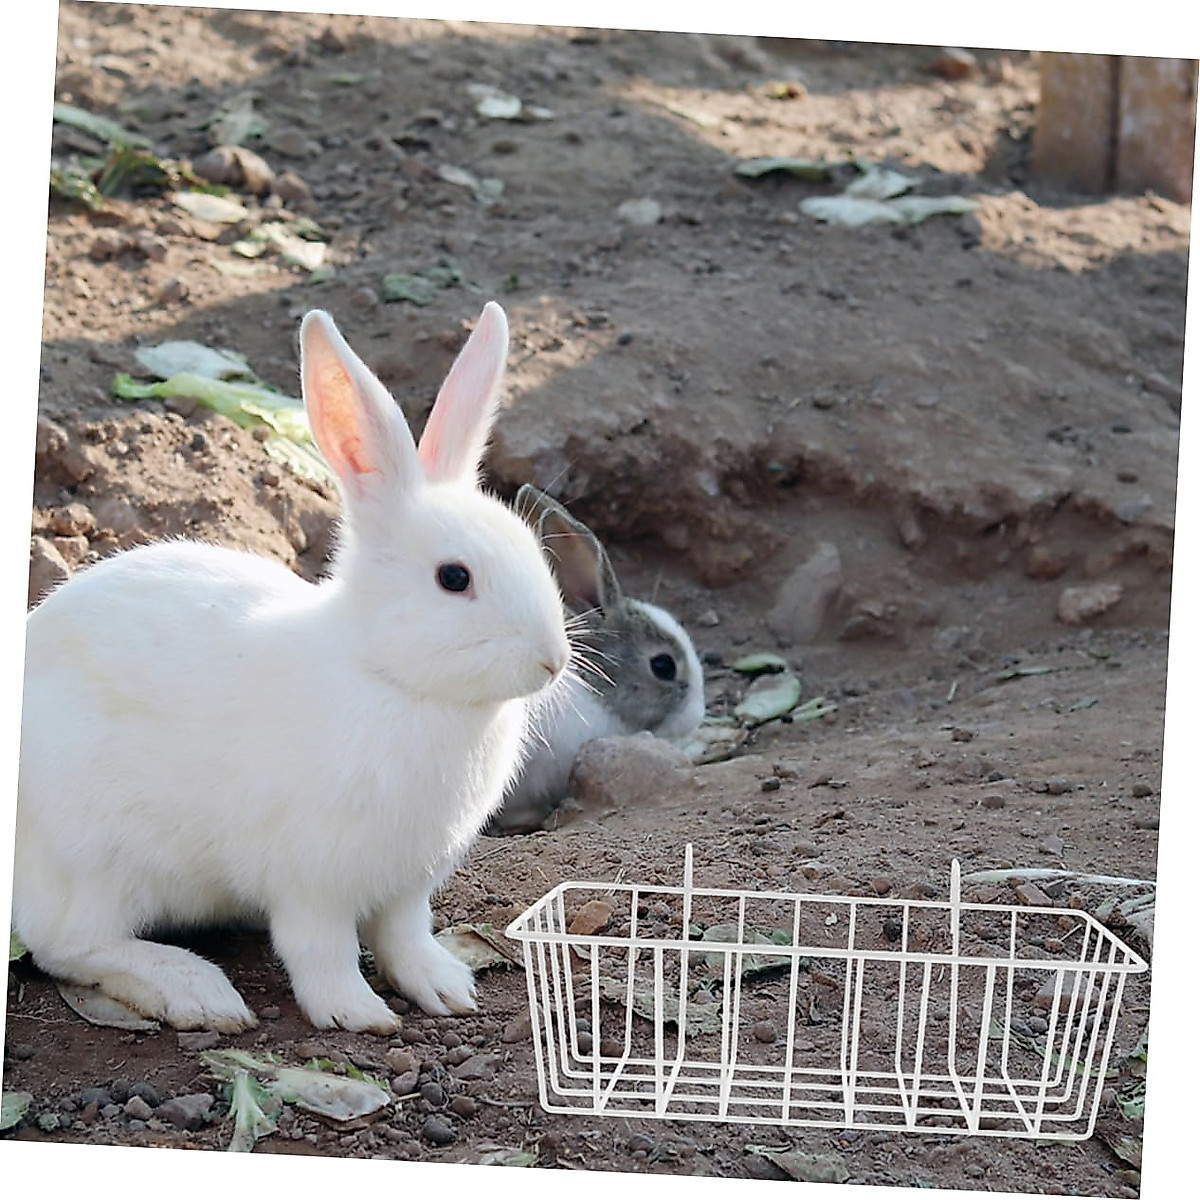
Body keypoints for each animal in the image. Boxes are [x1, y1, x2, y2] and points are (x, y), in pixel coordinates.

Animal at [12, 302, 572, 1035]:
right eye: (455, 578)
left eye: (533, 549)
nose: (552, 660)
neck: (388, 677)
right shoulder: (313, 881)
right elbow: (320, 950)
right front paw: (358, 1014)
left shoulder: (406, 884)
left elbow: (404, 936)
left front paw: (446, 989)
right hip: (95, 854)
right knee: (67, 942)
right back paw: (198, 993)